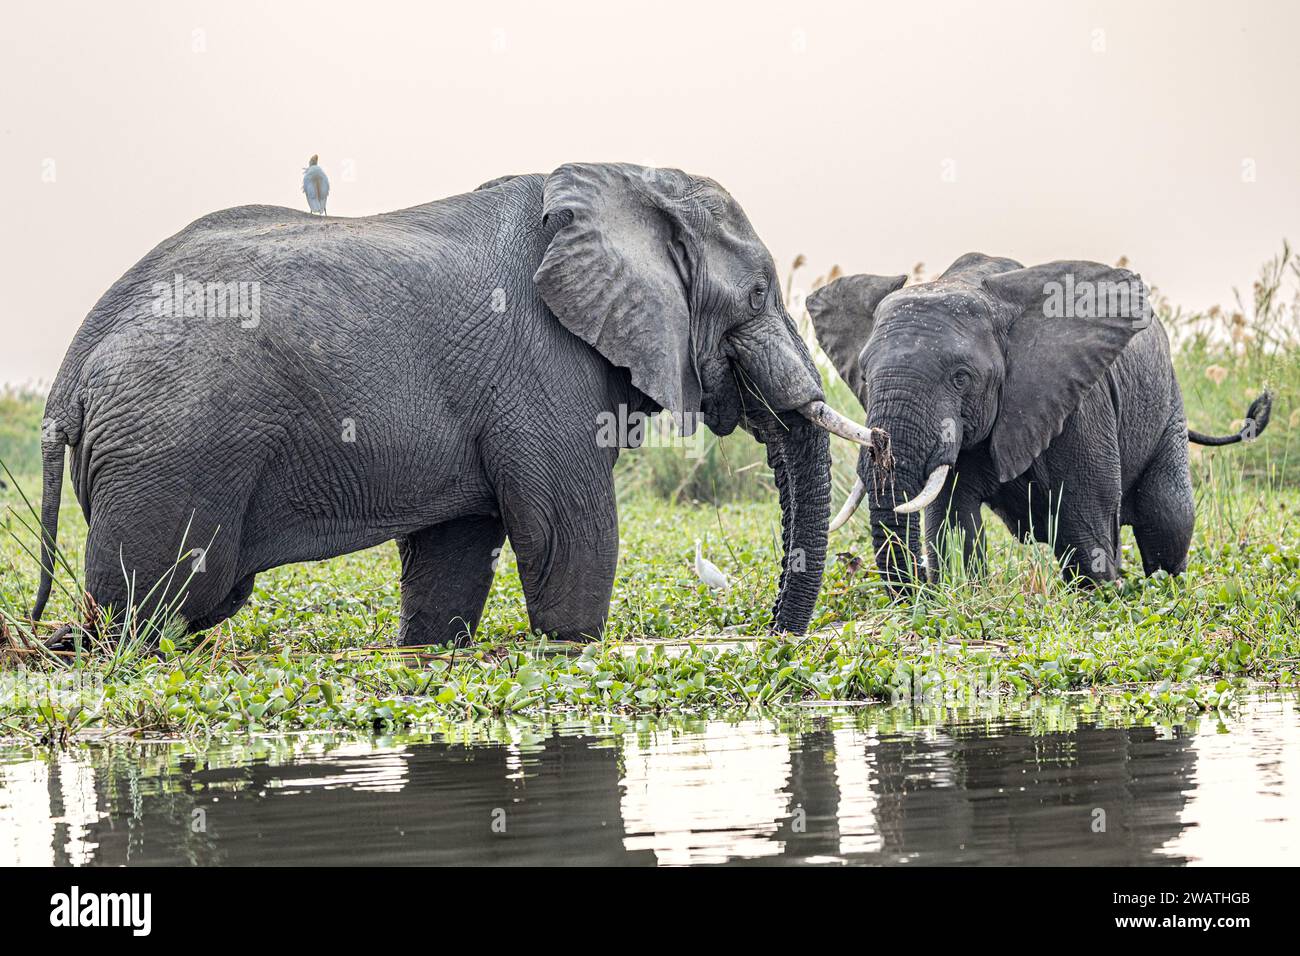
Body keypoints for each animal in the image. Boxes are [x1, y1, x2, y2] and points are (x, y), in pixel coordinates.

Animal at [31, 163, 885, 646]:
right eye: (760, 293)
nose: (772, 637)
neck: (629, 185)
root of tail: (72, 371)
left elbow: (454, 555)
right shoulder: (541, 362)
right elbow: (568, 534)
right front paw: (572, 646)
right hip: (170, 446)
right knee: (155, 603)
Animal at [807, 252, 1272, 585]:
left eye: (961, 378)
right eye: (864, 374)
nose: (916, 585)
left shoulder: (1077, 400)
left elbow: (1085, 517)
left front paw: (1101, 594)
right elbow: (953, 516)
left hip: (1166, 405)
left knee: (1167, 514)